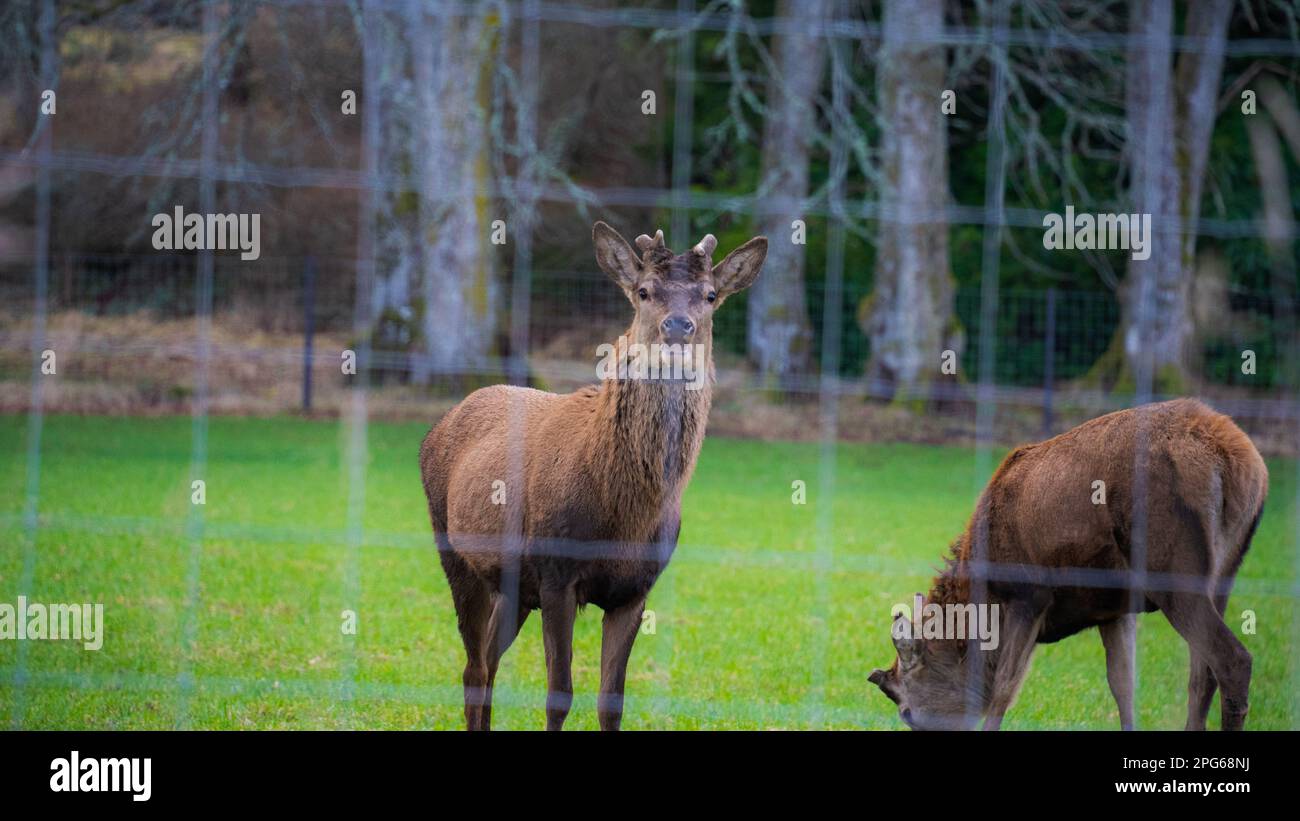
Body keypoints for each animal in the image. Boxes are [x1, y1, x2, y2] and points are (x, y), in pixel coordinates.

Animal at [419, 222, 766, 730]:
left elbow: (611, 700)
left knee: (489, 661)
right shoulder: (555, 571)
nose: (677, 327)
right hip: (453, 548)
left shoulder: (635, 590)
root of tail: (441, 423)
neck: (624, 517)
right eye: (643, 291)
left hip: (514, 586)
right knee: (474, 667)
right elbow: (559, 693)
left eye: (709, 295)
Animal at [869, 399, 1267, 731]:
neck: (986, 594)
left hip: (1174, 570)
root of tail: (1240, 463)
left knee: (1233, 660)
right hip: (1226, 570)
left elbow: (1004, 688)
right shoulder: (1114, 610)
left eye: (907, 712)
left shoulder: (1028, 595)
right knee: (1202, 673)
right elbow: (1122, 686)